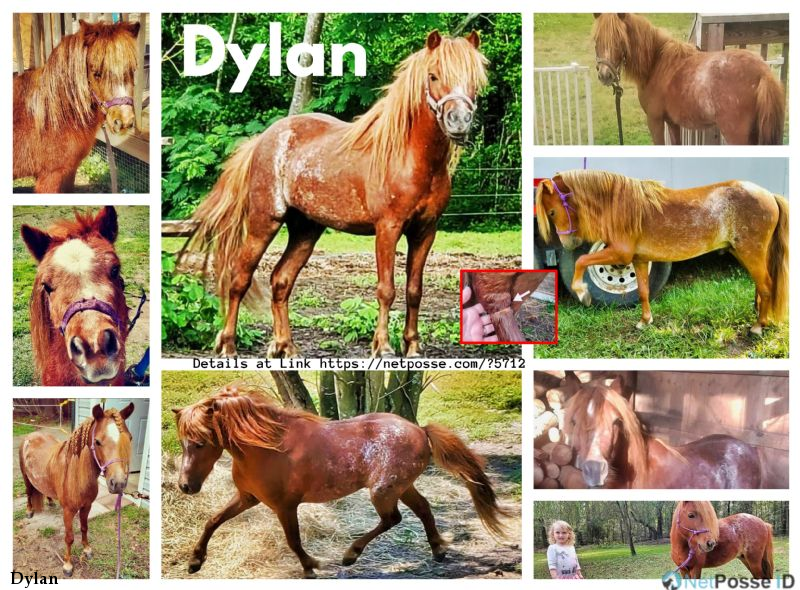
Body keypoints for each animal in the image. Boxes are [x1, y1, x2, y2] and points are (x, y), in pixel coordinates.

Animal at [19, 403, 135, 577]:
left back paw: (50, 501)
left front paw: (87, 550)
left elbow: (84, 528)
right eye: (97, 441)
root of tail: (31, 435)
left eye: (129, 438)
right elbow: (69, 537)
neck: (77, 474)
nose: (118, 483)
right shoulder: (68, 511)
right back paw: (29, 511)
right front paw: (68, 565)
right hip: (26, 478)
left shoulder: (87, 506)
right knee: (28, 493)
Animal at [173, 386, 510, 578]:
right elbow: (212, 521)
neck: (266, 447)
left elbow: (294, 541)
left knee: (393, 519)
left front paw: (311, 567)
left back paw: (351, 555)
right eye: (182, 441)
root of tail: (420, 430)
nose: (186, 486)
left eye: (200, 442)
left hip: (383, 491)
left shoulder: (285, 506)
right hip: (402, 487)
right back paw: (438, 551)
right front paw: (195, 562)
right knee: (424, 509)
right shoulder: (247, 497)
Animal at [185, 30, 488, 358]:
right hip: (264, 223)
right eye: (433, 75)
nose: (459, 122)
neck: (411, 159)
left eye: (474, 78)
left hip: (305, 230)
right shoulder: (388, 229)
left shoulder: (425, 232)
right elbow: (386, 289)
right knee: (239, 277)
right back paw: (228, 345)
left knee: (280, 281)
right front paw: (383, 347)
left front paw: (413, 347)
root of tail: (263, 140)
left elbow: (414, 290)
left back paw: (286, 347)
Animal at [535, 169, 789, 334]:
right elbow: (643, 292)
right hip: (741, 252)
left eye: (552, 212)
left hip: (751, 252)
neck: (620, 207)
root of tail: (769, 195)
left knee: (766, 285)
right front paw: (645, 321)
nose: (569, 244)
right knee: (760, 285)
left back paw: (759, 326)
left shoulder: (620, 254)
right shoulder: (638, 260)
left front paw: (583, 293)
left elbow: (582, 261)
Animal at [592, 13, 785, 145]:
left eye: (620, 40)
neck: (657, 63)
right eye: (596, 39)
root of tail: (763, 72)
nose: (605, 75)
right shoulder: (672, 123)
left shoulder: (655, 121)